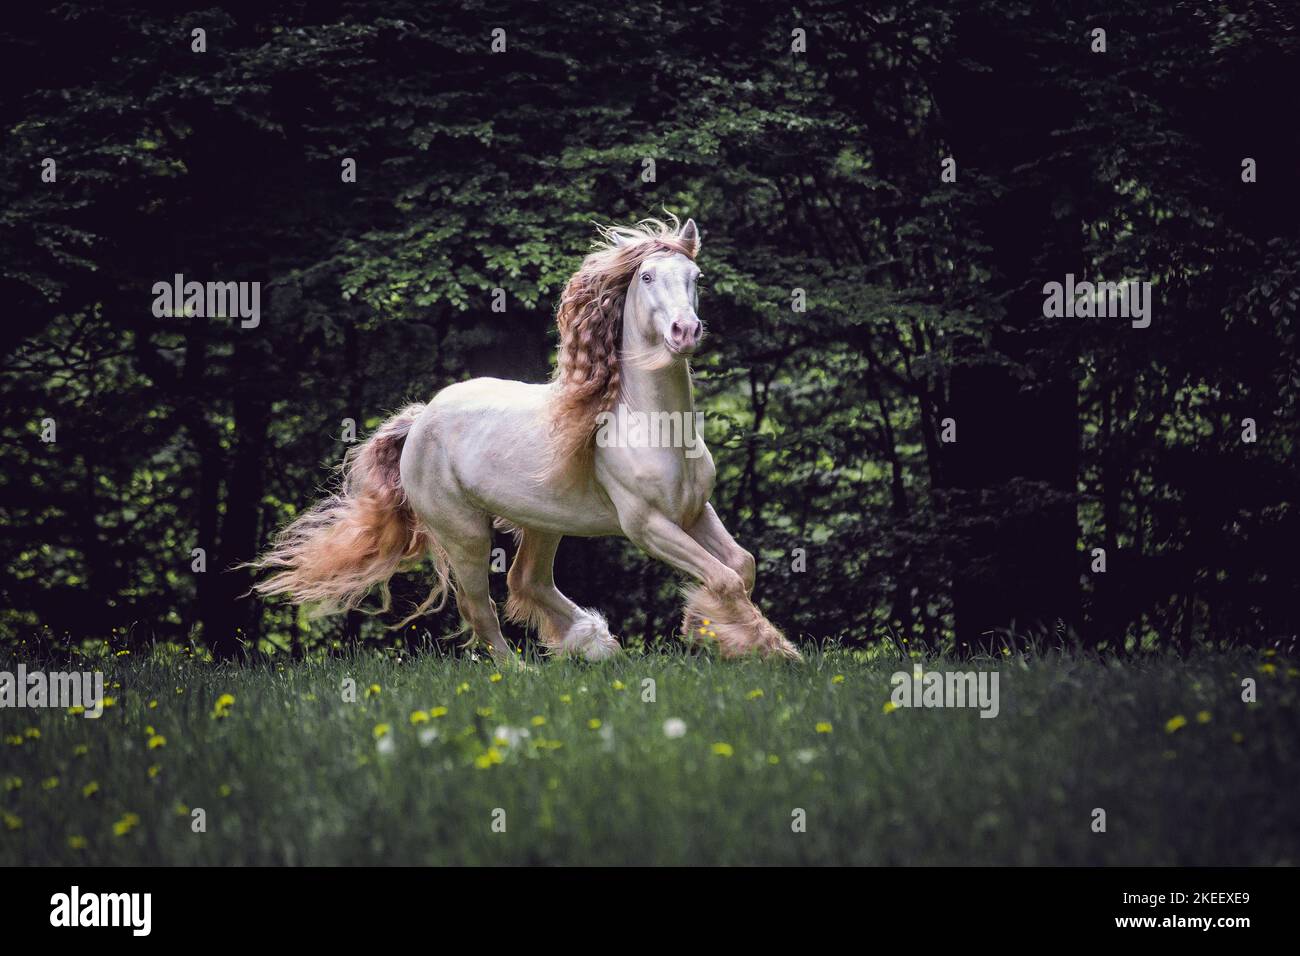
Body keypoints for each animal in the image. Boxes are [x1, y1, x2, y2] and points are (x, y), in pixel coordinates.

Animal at [251, 216, 800, 663]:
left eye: (695, 278)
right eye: (646, 278)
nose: (685, 331)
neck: (653, 426)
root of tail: (423, 418)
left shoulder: (694, 511)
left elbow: (741, 567)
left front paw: (717, 633)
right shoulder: (647, 525)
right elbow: (724, 576)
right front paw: (764, 648)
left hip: (543, 521)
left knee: (526, 580)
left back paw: (592, 643)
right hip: (466, 534)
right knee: (480, 605)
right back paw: (522, 671)